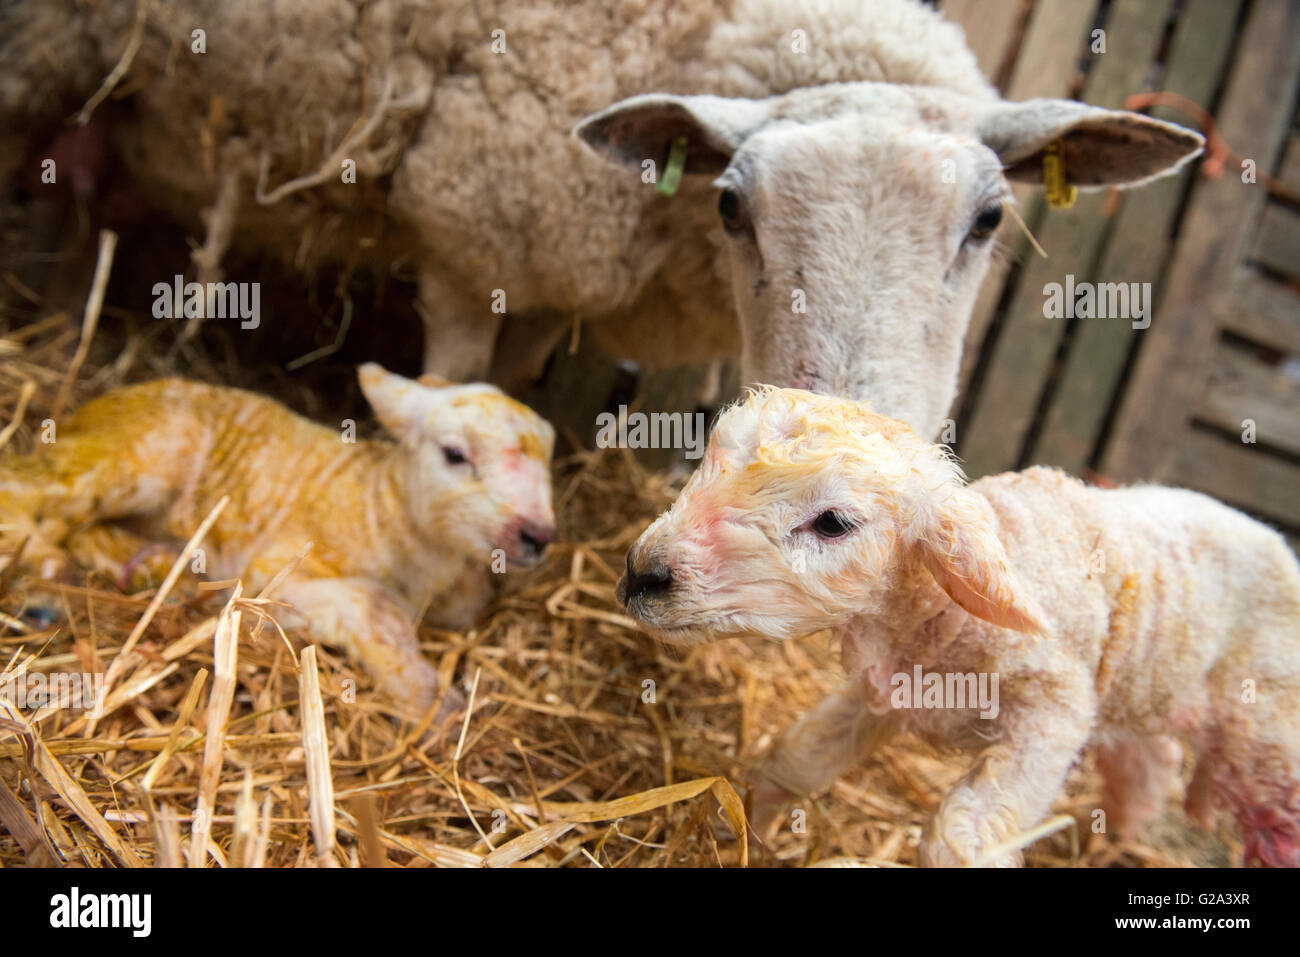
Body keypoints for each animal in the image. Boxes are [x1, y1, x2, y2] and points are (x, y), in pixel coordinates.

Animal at [0, 364, 556, 716]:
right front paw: (433, 703)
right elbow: (371, 604)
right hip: (140, 453)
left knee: (78, 528)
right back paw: (48, 581)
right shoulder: (272, 568)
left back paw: (153, 567)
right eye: (455, 455)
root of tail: (90, 408)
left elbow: (467, 602)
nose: (538, 536)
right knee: (25, 491)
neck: (383, 511)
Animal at [1, 0, 1203, 438]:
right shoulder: (467, 224)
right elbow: (453, 379)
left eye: (989, 220)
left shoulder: (555, 271)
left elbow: (516, 375)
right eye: (731, 206)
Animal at [618, 387, 1300, 867]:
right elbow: (799, 759)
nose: (643, 574)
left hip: (1265, 732)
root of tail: (1274, 538)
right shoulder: (888, 691)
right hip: (1142, 684)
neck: (936, 618)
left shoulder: (1055, 711)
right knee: (1153, 758)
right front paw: (738, 826)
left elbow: (958, 838)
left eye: (833, 523)